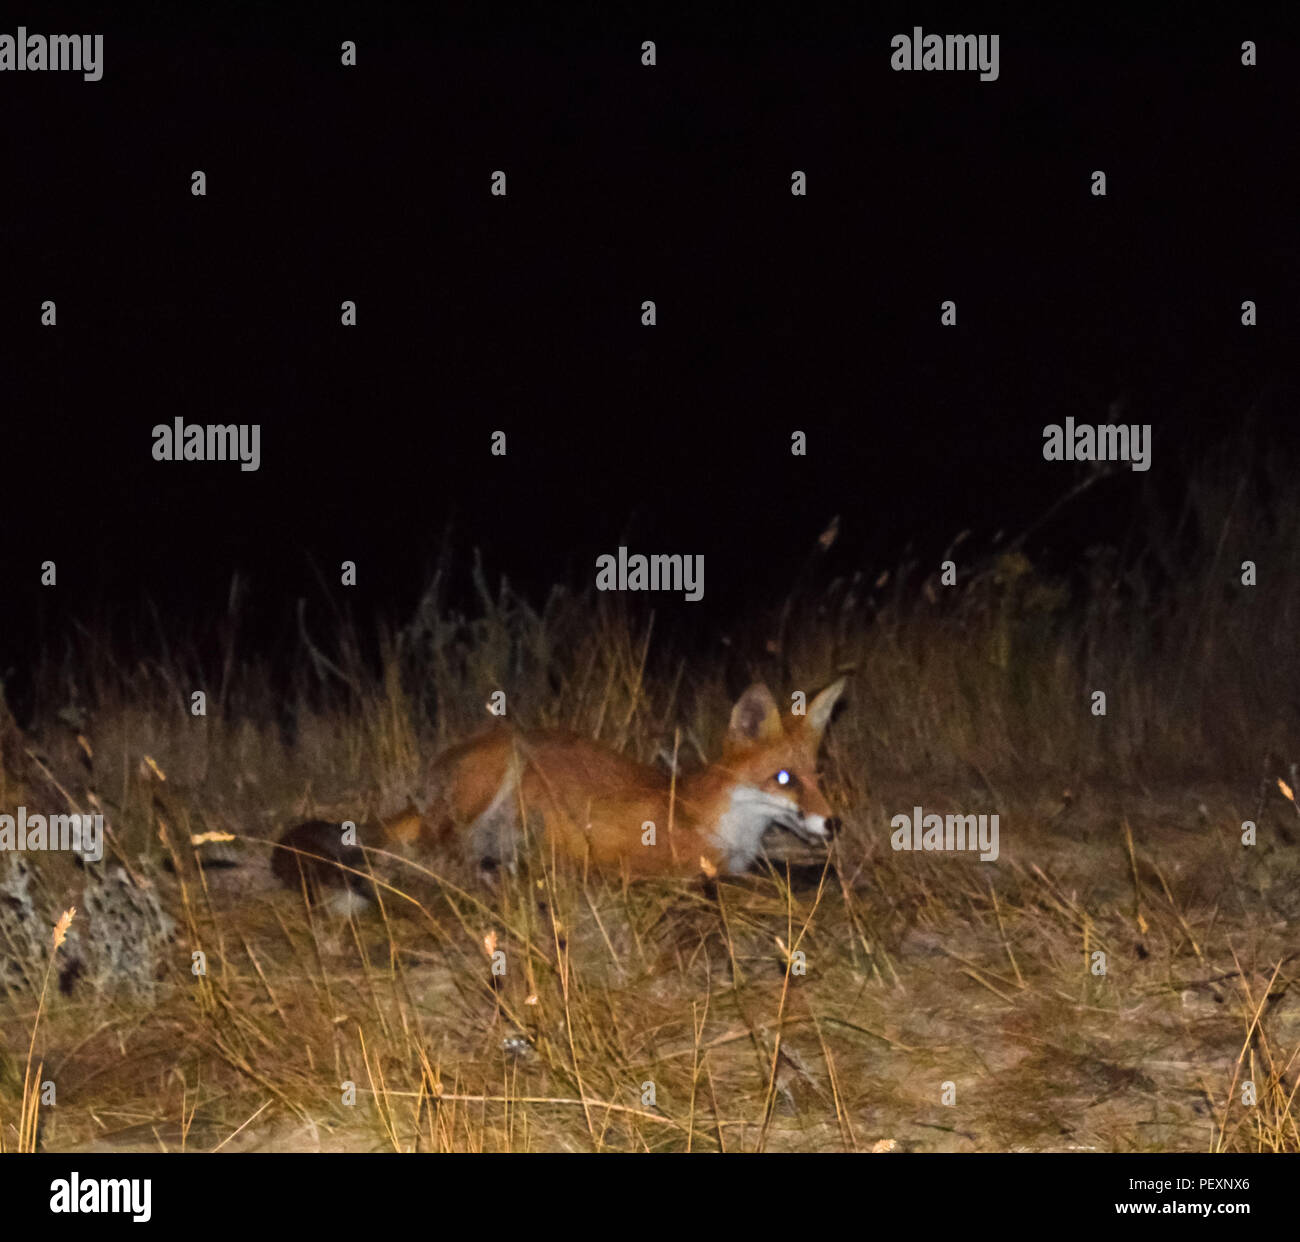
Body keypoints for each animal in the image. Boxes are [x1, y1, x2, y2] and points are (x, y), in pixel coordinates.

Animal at [273, 677, 846, 901]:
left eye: (819, 775)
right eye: (784, 779)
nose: (835, 822)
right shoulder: (670, 871)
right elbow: (768, 880)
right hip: (500, 759)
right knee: (433, 858)